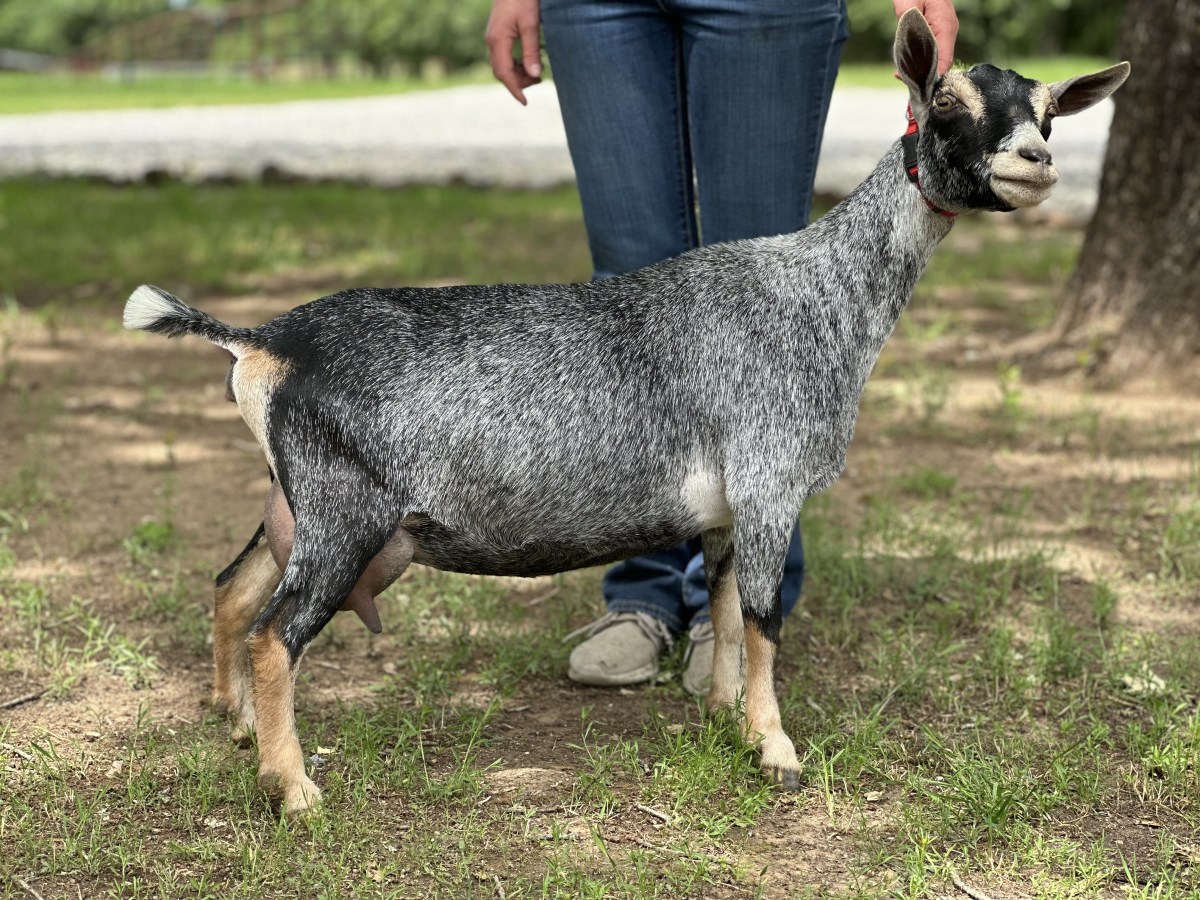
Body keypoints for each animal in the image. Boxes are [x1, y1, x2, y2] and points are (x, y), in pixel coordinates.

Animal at [123, 11, 1128, 817]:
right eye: (945, 101)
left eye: (1048, 111)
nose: (1037, 162)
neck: (823, 296)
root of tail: (262, 341)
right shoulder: (771, 482)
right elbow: (763, 617)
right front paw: (777, 751)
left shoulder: (727, 507)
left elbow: (722, 604)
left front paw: (724, 716)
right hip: (347, 511)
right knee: (274, 633)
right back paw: (293, 790)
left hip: (299, 503)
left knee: (232, 591)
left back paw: (235, 727)